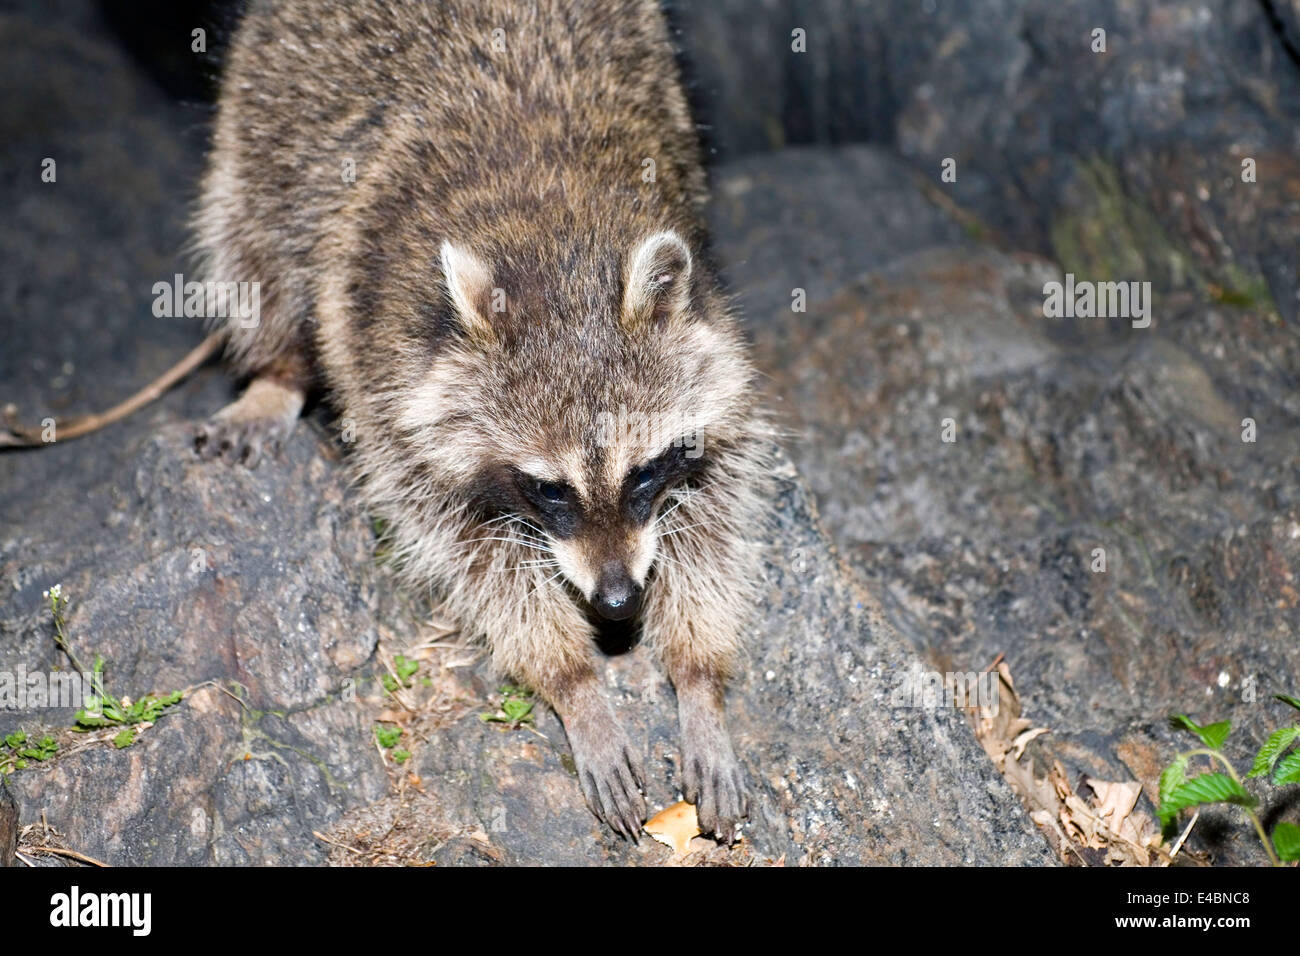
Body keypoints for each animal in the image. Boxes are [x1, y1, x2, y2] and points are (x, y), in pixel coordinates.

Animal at [192, 0, 773, 841]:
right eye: (550, 490)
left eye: (643, 473)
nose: (617, 602)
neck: (550, 243)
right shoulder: (390, 381)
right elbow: (475, 561)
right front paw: (576, 686)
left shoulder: (712, 358)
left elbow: (714, 522)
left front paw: (699, 685)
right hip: (268, 111)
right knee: (255, 241)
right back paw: (277, 371)